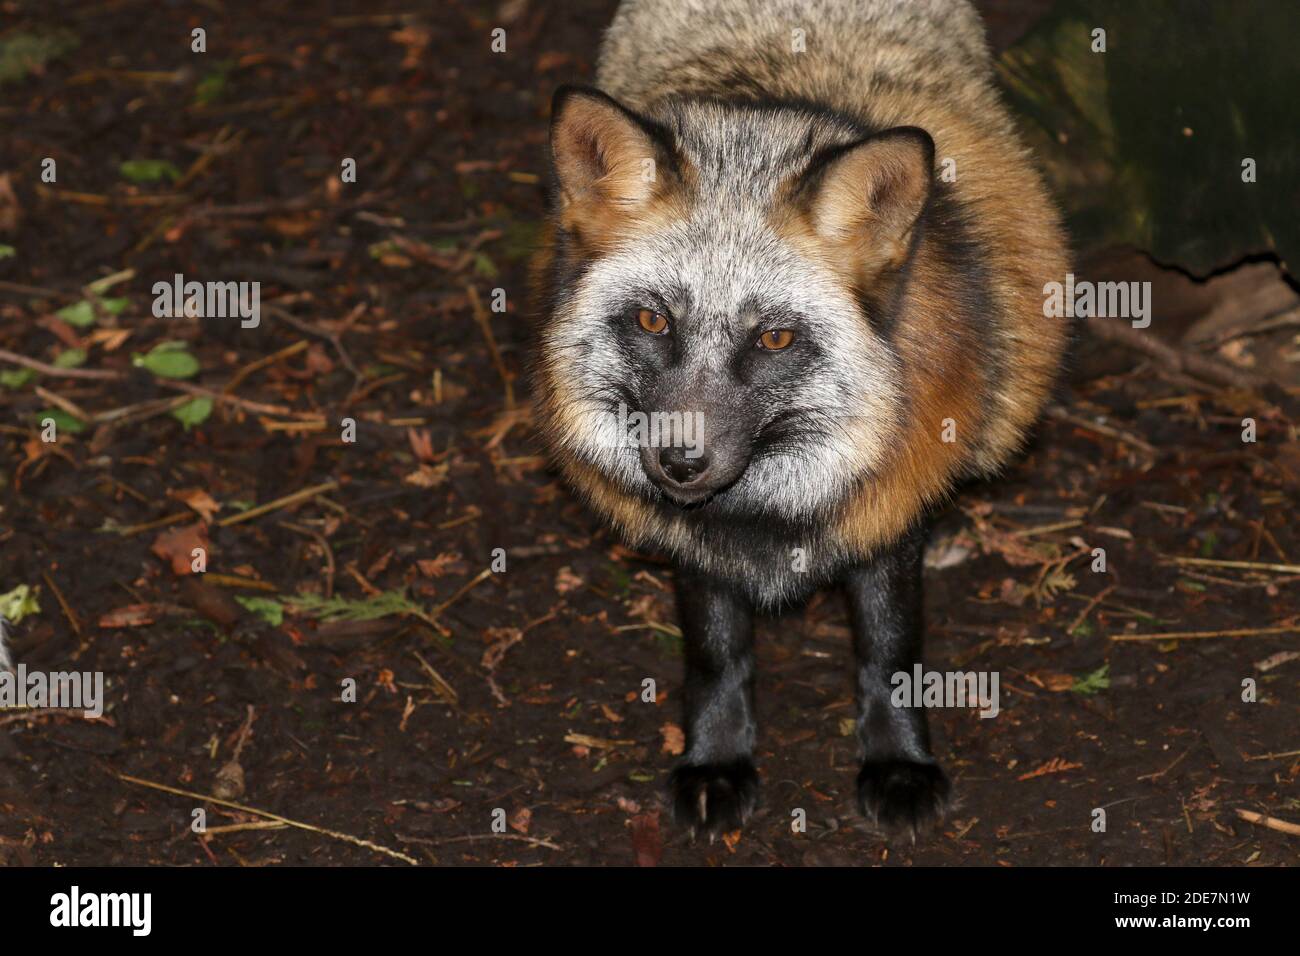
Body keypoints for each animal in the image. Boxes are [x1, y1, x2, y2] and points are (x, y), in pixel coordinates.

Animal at [532, 0, 1069, 838]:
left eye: (775, 339)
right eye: (653, 321)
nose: (680, 462)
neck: (766, 515)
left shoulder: (890, 509)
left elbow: (890, 652)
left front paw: (898, 765)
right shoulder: (697, 541)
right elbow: (716, 657)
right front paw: (716, 761)